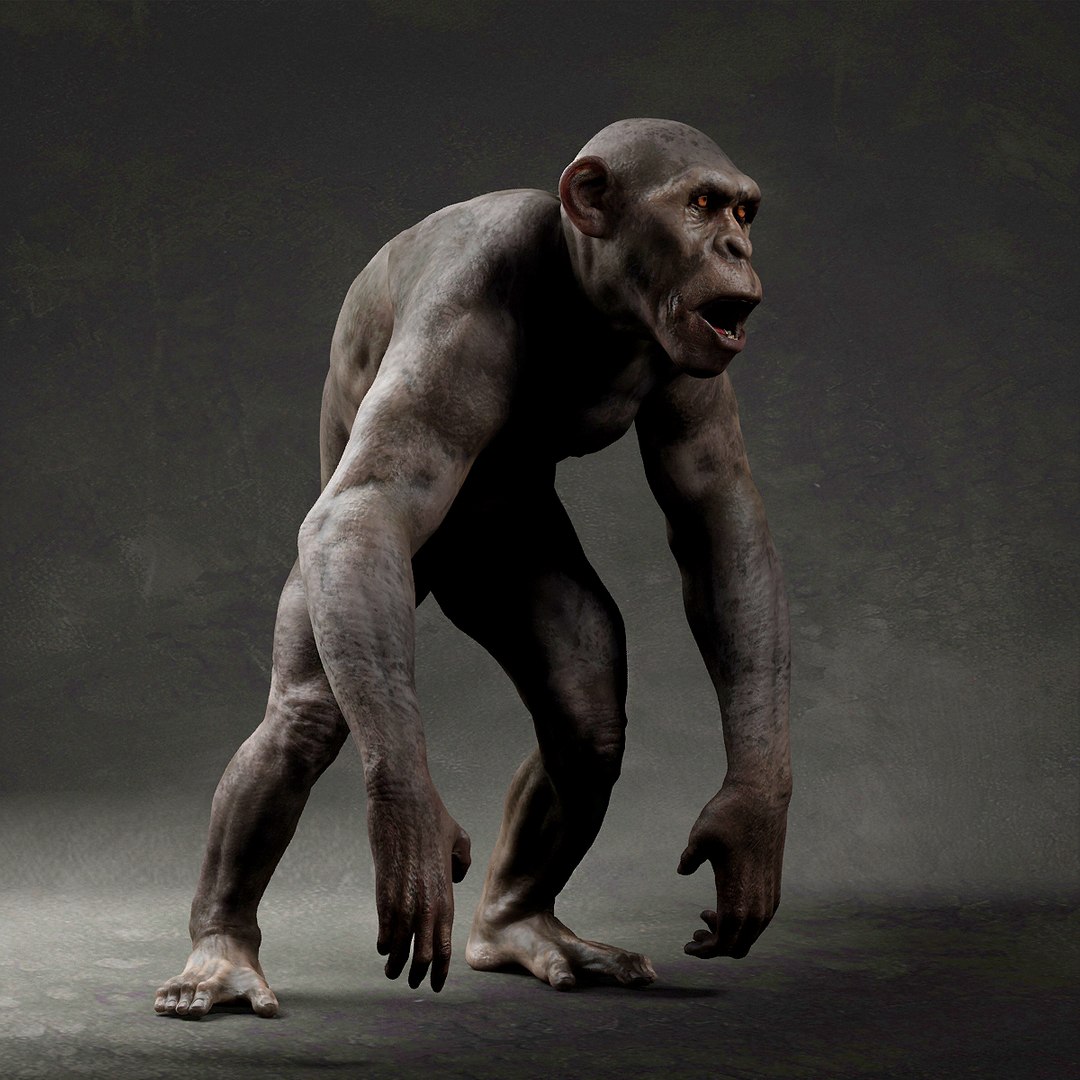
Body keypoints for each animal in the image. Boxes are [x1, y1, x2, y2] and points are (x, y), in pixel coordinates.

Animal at [155, 118, 791, 1017]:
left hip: (501, 561)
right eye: (699, 204)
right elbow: (368, 505)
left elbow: (716, 514)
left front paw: (751, 816)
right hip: (359, 587)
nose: (736, 246)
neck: (584, 288)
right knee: (302, 717)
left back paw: (517, 925)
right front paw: (409, 823)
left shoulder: (693, 358)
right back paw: (220, 952)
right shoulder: (459, 312)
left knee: (584, 712)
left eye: (742, 209)